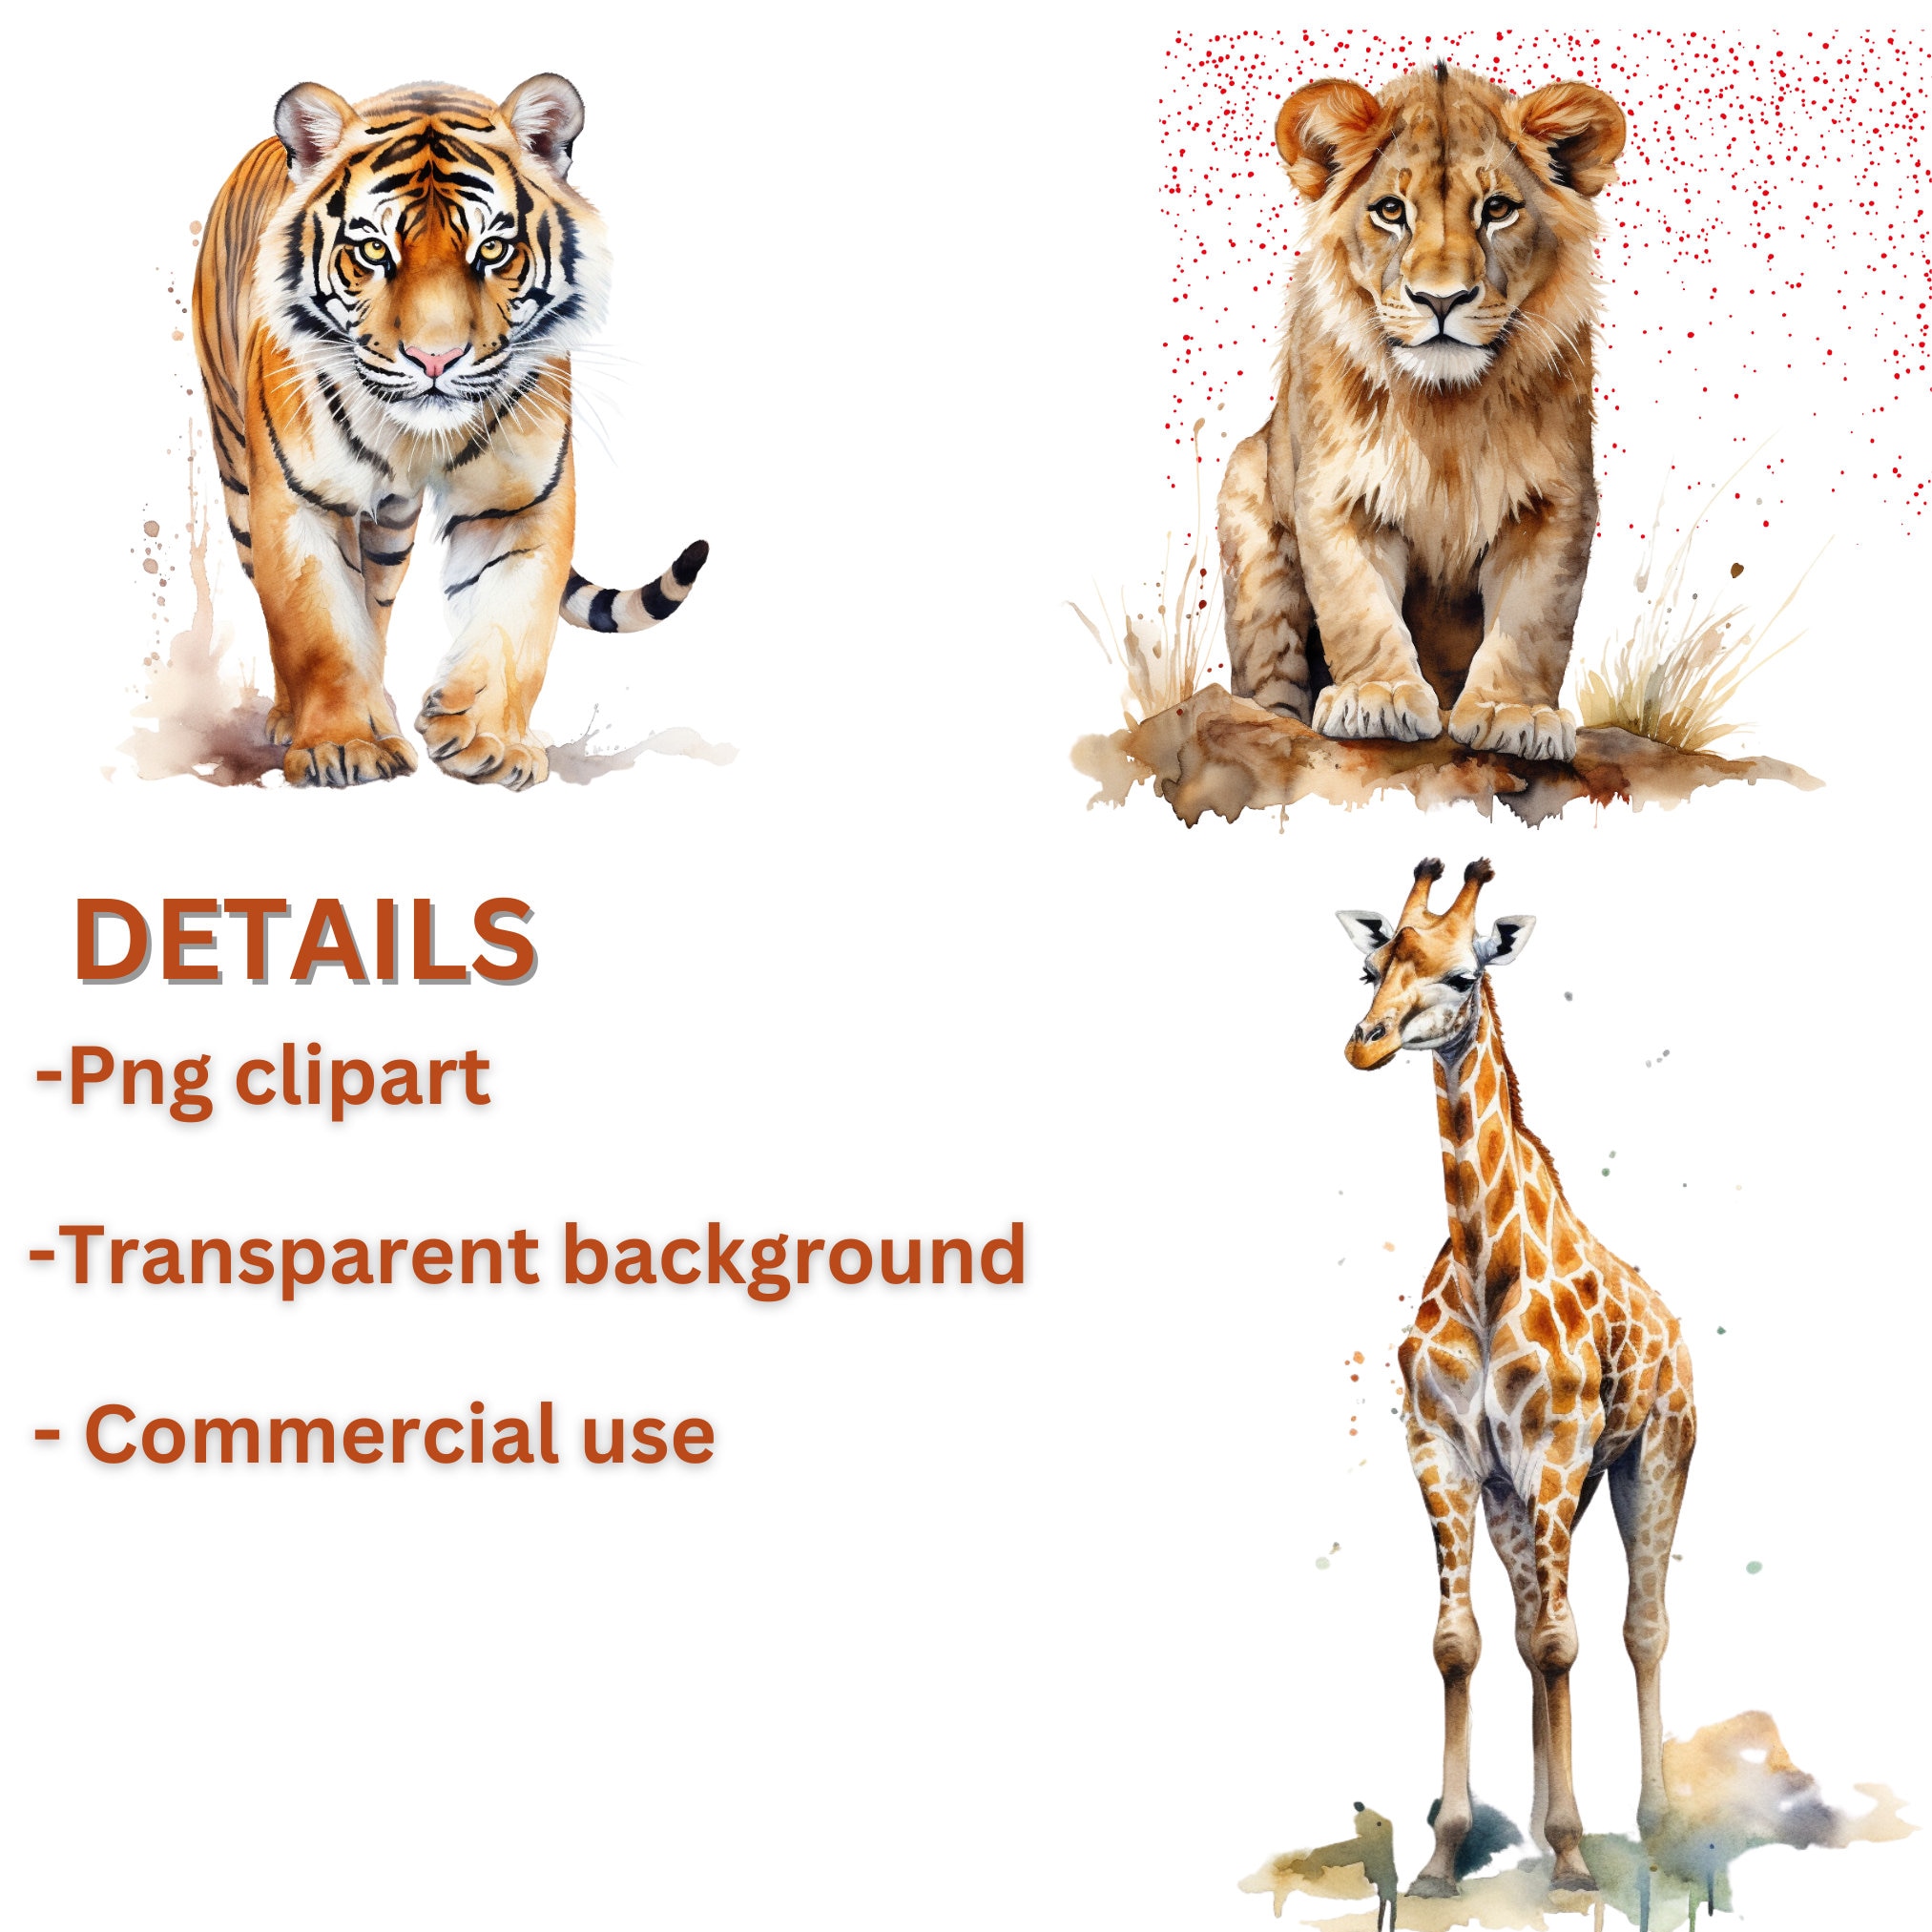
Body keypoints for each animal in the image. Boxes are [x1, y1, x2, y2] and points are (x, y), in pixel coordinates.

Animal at [1217, 62, 1626, 762]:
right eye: (1390, 211)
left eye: (1497, 209)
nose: (1441, 300)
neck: (1445, 413)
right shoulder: (1335, 495)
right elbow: (1357, 606)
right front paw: (1375, 696)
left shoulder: (1555, 504)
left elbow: (1532, 619)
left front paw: (1514, 711)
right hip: (1248, 493)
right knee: (1269, 676)